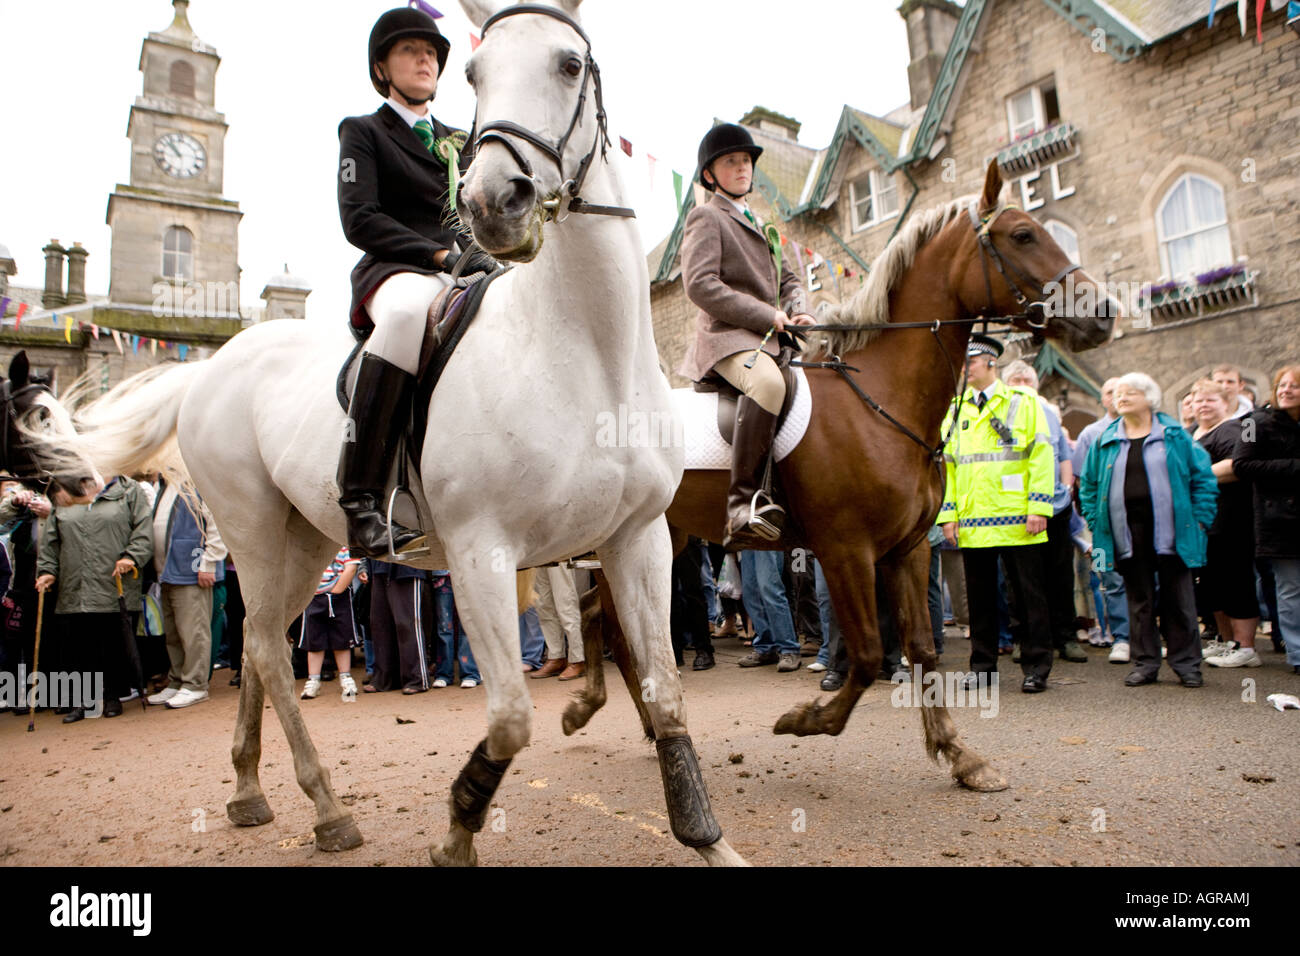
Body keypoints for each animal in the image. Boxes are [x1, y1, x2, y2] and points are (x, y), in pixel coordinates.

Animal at [38, 0, 743, 868]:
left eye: (569, 65)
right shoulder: (482, 550)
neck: (583, 352)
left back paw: (249, 792)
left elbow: (667, 699)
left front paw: (710, 842)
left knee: (261, 643)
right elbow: (511, 717)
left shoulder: (637, 540)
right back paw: (325, 807)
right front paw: (457, 833)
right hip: (253, 528)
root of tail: (211, 367)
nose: (492, 203)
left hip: (306, 539)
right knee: (267, 649)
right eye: (472, 72)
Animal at [564, 162, 1112, 790]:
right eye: (1022, 235)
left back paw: (634, 721)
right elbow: (871, 653)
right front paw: (805, 720)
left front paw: (959, 754)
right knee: (614, 628)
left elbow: (920, 647)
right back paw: (624, 719)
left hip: (660, 539)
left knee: (606, 622)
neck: (881, 399)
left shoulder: (907, 550)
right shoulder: (847, 550)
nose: (1102, 312)